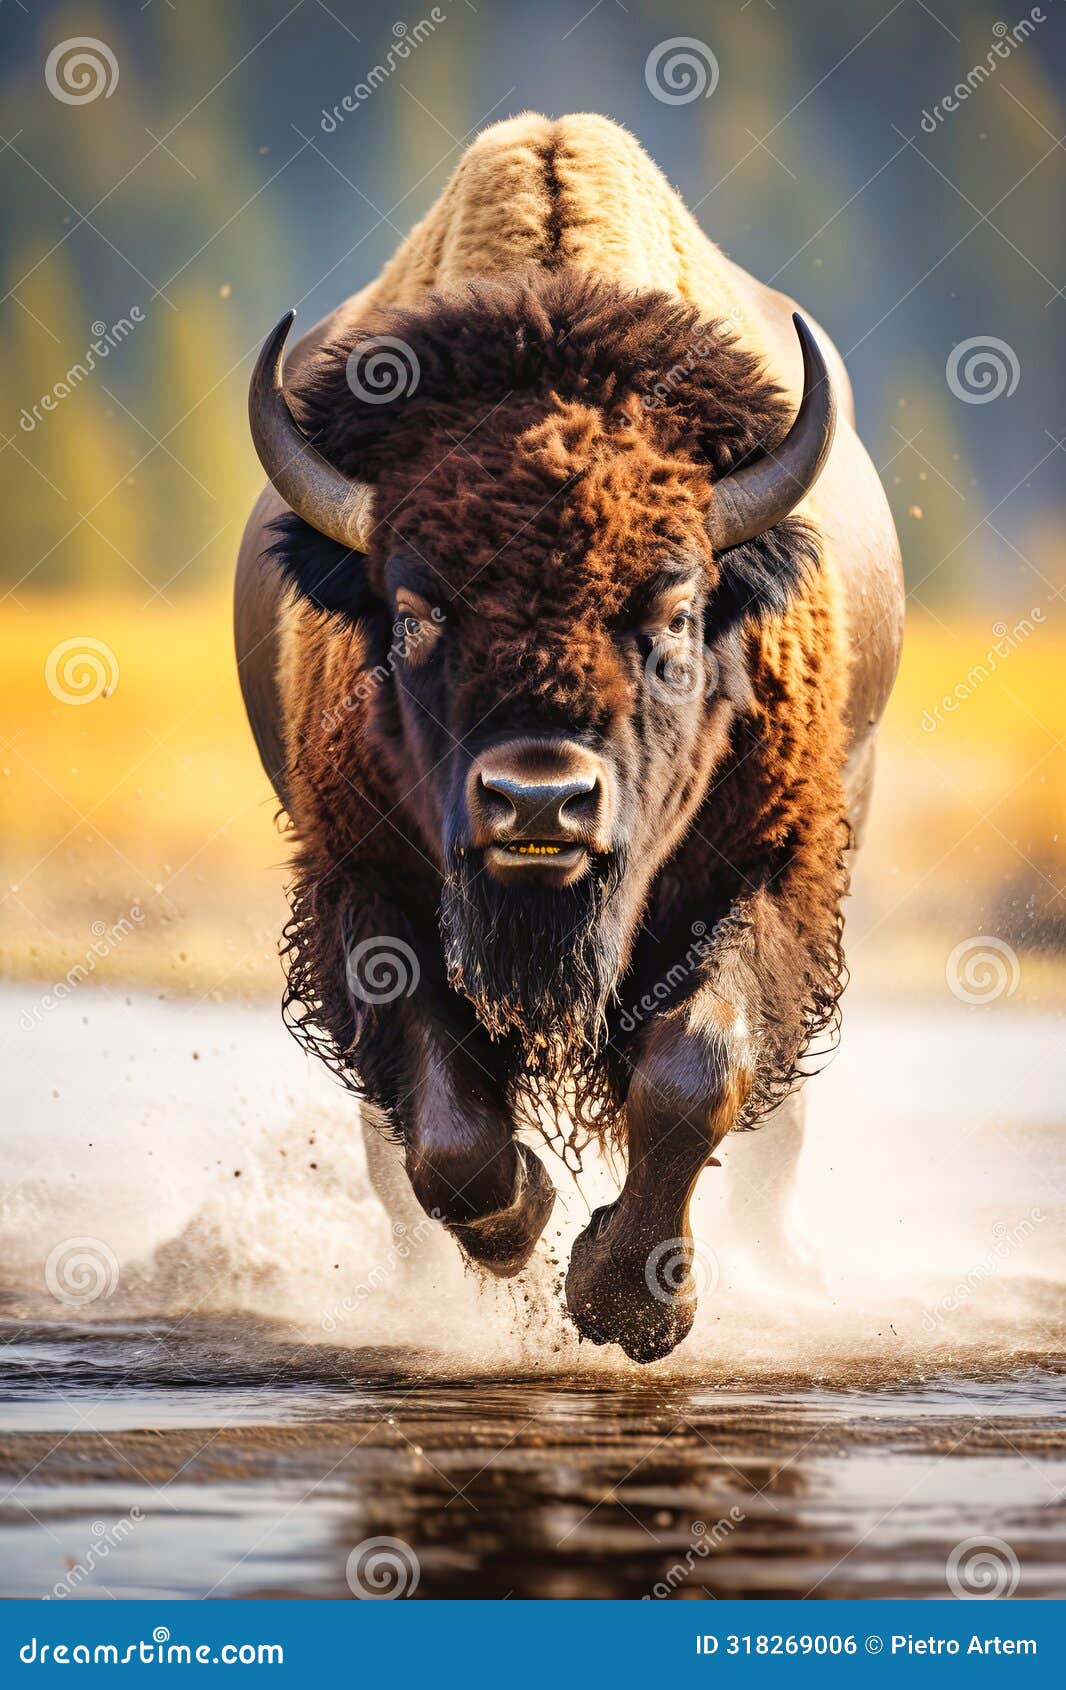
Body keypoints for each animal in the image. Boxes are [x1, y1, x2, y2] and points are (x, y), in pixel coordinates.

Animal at [235, 113, 903, 1361]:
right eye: (412, 611)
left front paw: (628, 1300)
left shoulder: (769, 869)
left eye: (677, 611)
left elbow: (698, 1066)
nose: (539, 800)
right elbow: (446, 1129)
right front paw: (524, 1228)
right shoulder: (362, 883)